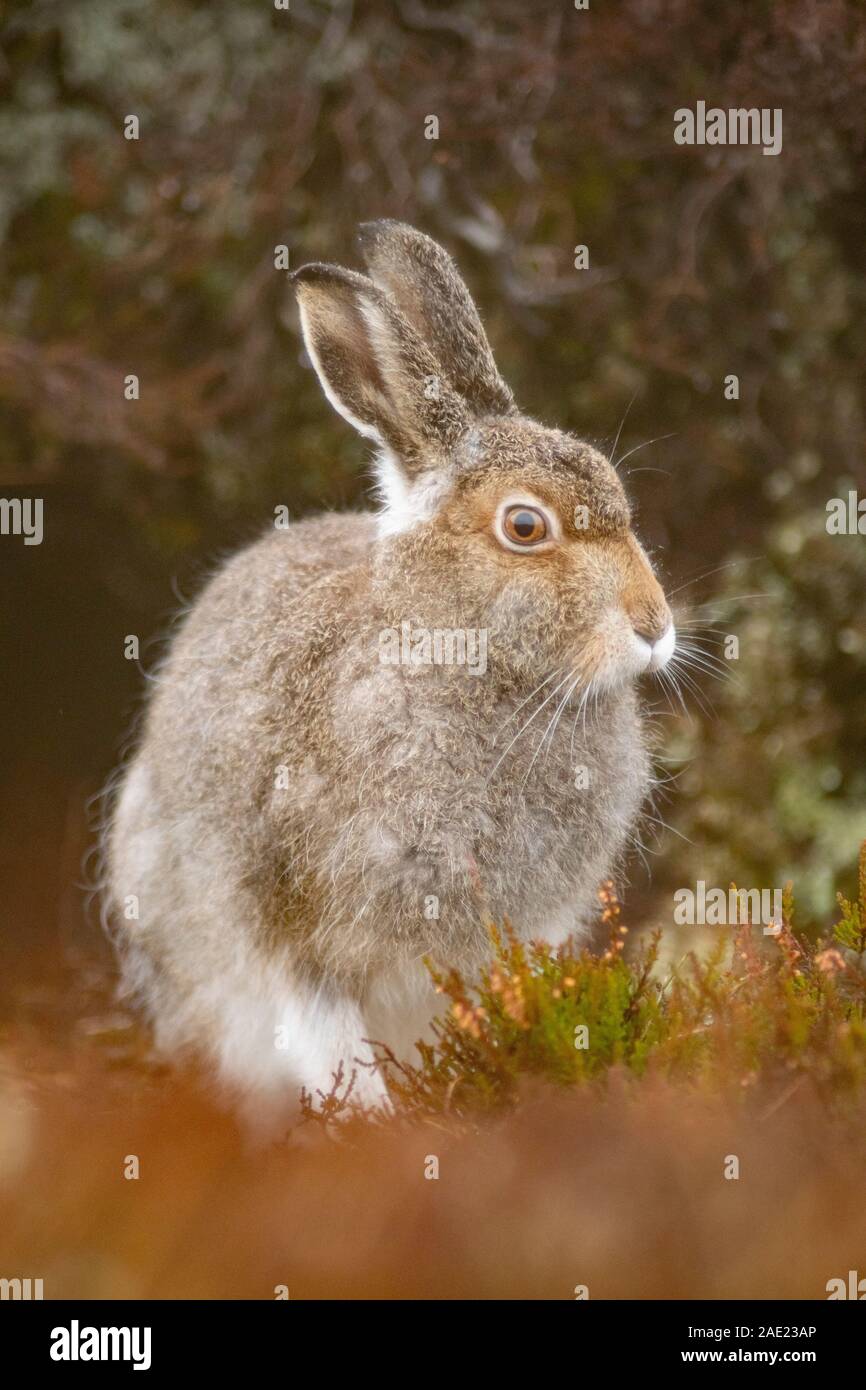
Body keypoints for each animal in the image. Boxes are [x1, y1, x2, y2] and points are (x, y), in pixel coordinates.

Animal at [106, 220, 675, 1130]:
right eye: (525, 527)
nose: (655, 628)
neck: (463, 661)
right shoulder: (296, 931)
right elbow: (325, 1035)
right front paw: (373, 1125)